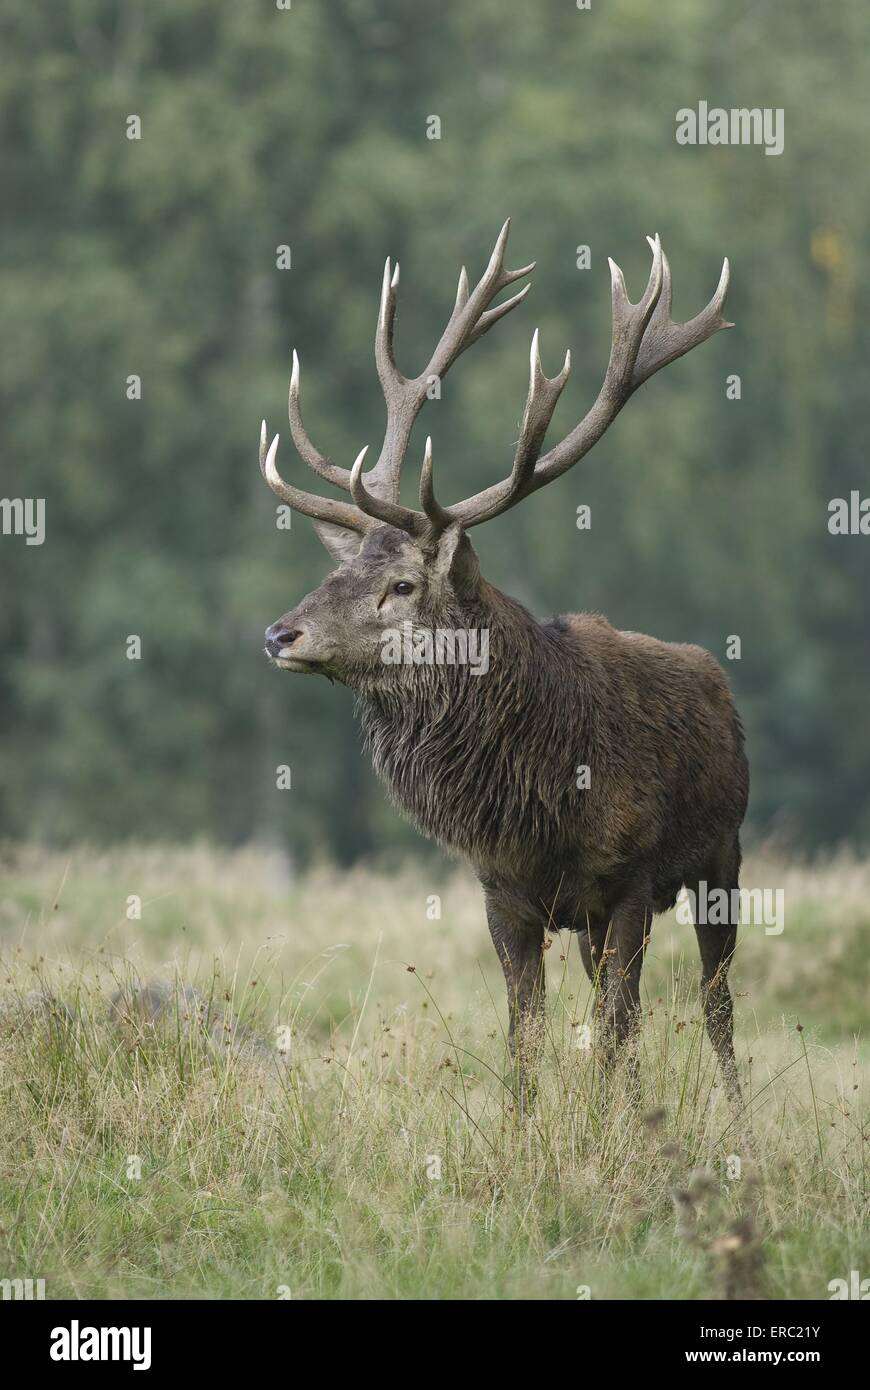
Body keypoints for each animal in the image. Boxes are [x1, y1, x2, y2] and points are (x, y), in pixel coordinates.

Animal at [259, 222, 749, 1111]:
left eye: (402, 585)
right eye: (339, 570)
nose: (281, 634)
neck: (542, 803)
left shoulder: (629, 881)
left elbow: (616, 1027)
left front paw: (607, 1131)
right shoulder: (503, 895)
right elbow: (528, 1037)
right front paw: (529, 1130)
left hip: (722, 856)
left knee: (716, 1003)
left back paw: (732, 1119)